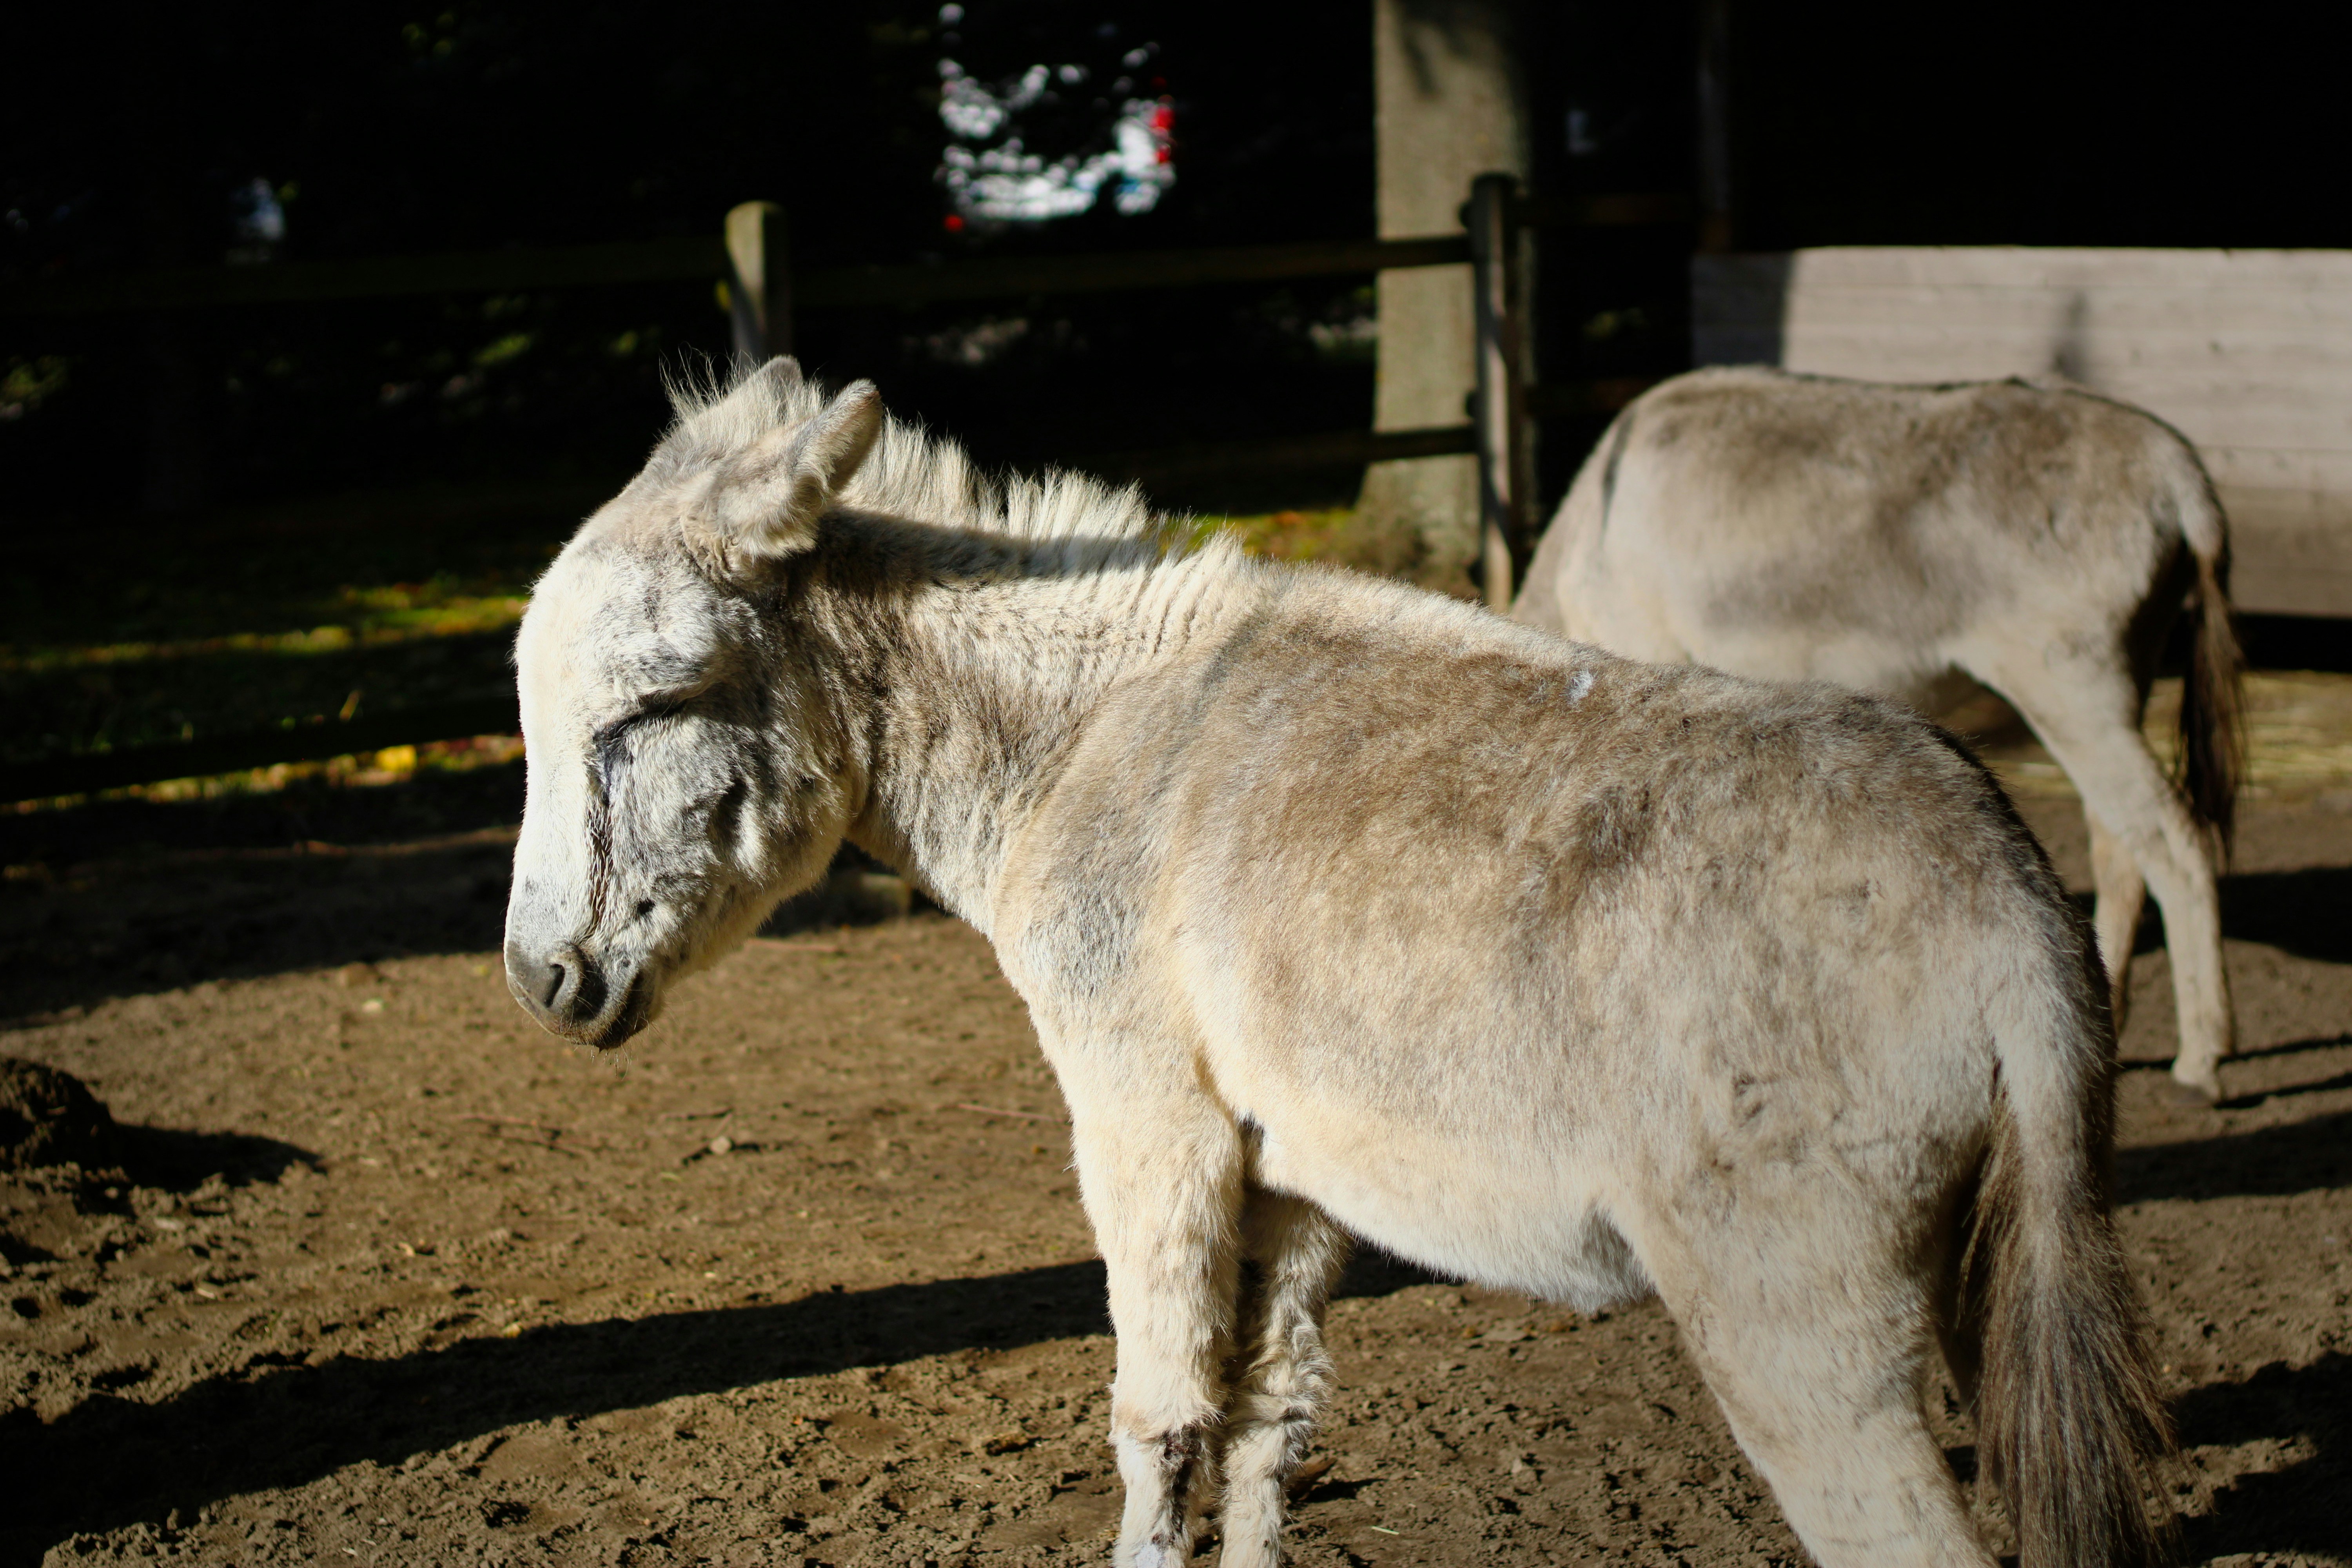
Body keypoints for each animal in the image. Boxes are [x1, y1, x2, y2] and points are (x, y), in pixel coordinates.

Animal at [1514, 365, 2244, 1103]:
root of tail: (2179, 472)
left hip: (2073, 694)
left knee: (2176, 846)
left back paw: (2203, 1060)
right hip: (2119, 687)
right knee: (2122, 847)